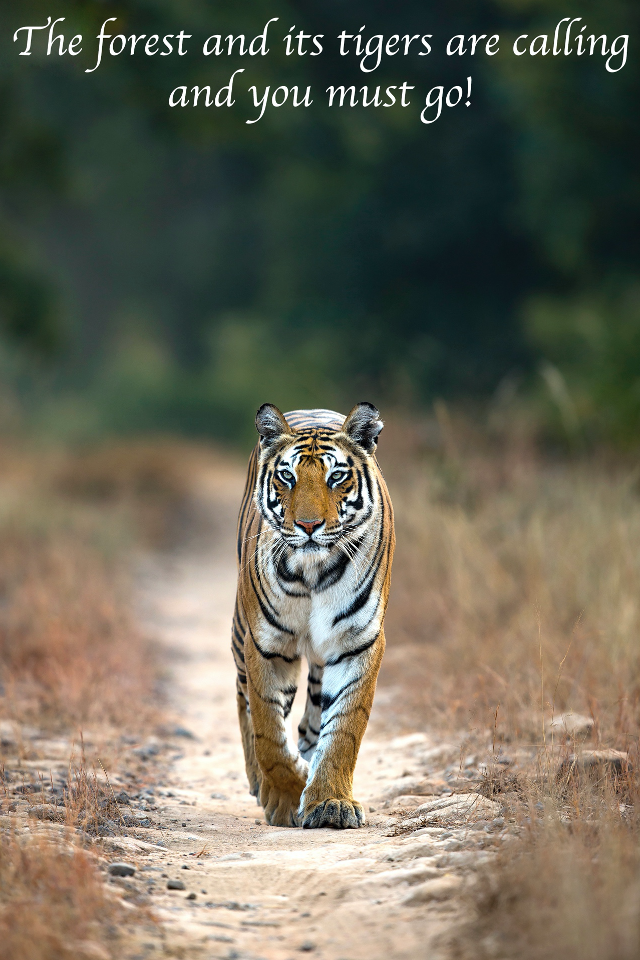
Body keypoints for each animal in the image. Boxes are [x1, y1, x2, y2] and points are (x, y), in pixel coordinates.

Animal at [231, 402, 395, 829]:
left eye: (336, 476)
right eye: (287, 476)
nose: (307, 526)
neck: (313, 571)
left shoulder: (357, 642)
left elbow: (345, 730)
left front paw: (330, 802)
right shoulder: (266, 644)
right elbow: (268, 732)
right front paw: (286, 798)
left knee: (313, 717)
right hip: (240, 636)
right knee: (244, 701)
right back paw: (260, 782)